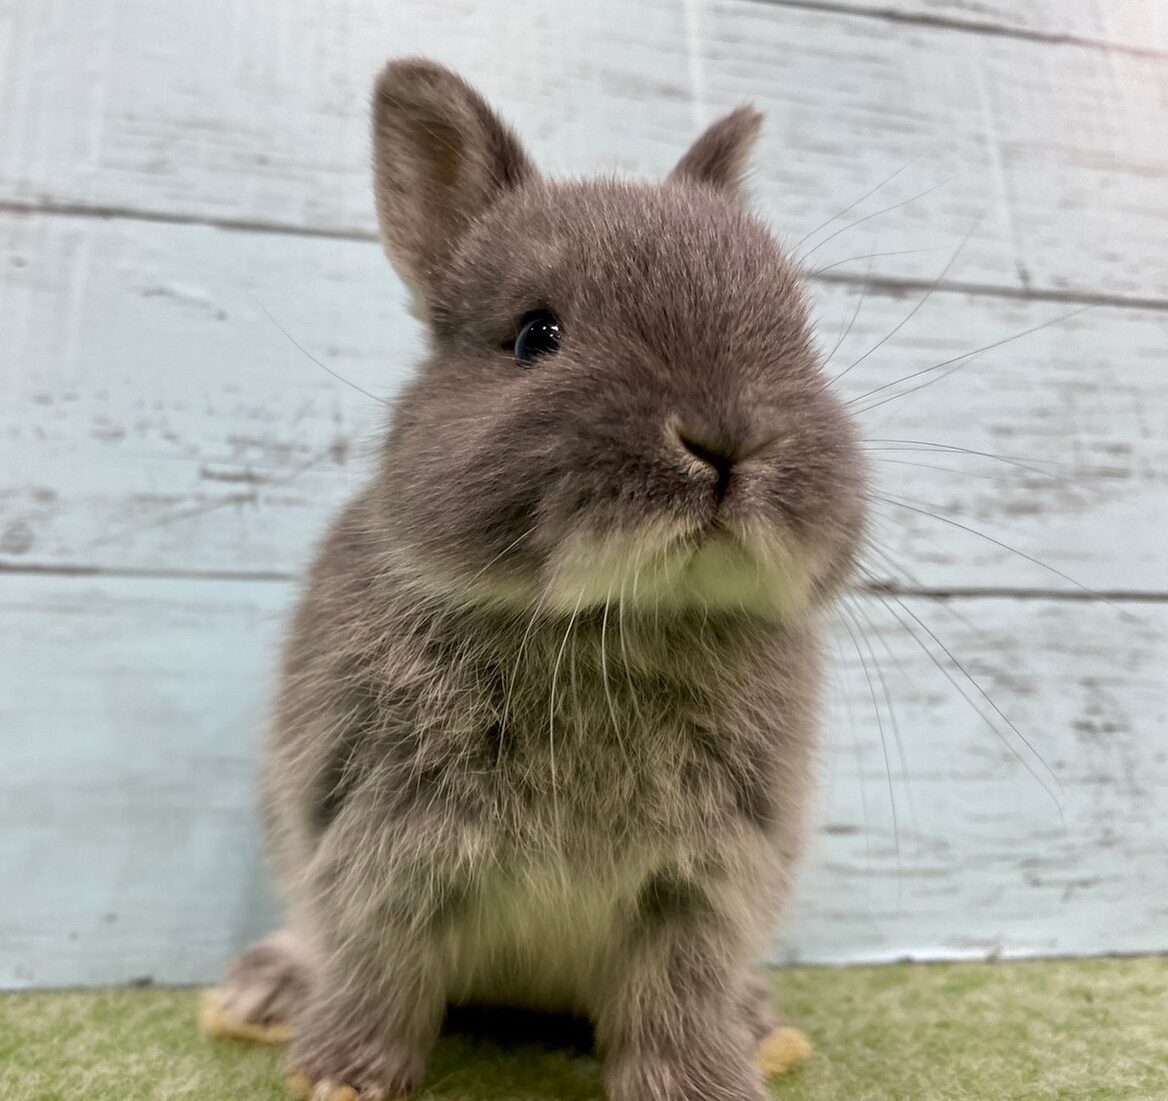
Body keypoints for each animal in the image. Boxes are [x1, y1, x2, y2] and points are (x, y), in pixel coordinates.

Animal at [202, 58, 868, 1101]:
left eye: (799, 333)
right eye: (534, 337)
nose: (731, 439)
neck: (613, 620)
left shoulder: (707, 880)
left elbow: (678, 994)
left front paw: (703, 1082)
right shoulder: (378, 838)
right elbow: (378, 961)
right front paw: (345, 1076)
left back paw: (763, 1026)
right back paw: (260, 994)